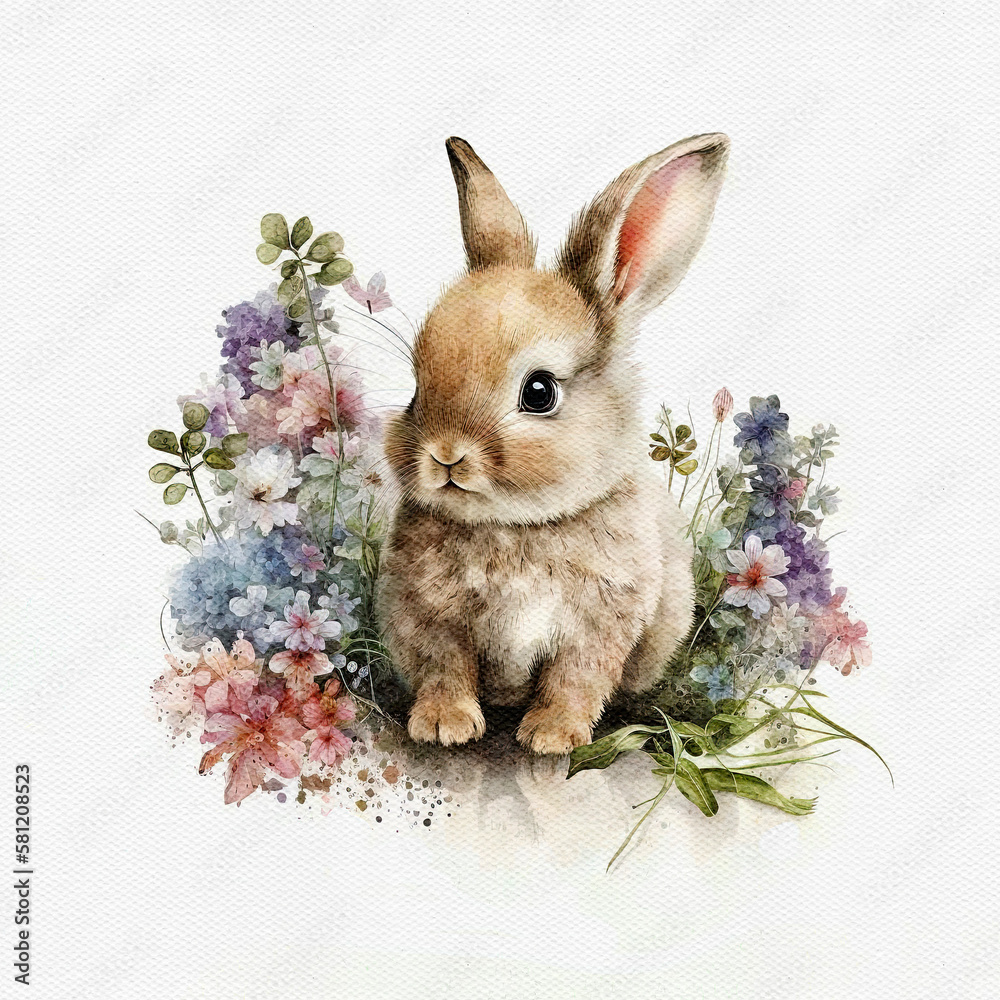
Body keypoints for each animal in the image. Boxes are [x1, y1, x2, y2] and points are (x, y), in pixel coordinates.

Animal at [376, 132, 729, 754]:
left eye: (539, 392)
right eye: (418, 386)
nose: (445, 455)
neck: (519, 526)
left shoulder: (600, 625)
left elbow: (575, 678)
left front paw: (552, 735)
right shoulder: (434, 618)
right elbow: (446, 668)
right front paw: (444, 726)